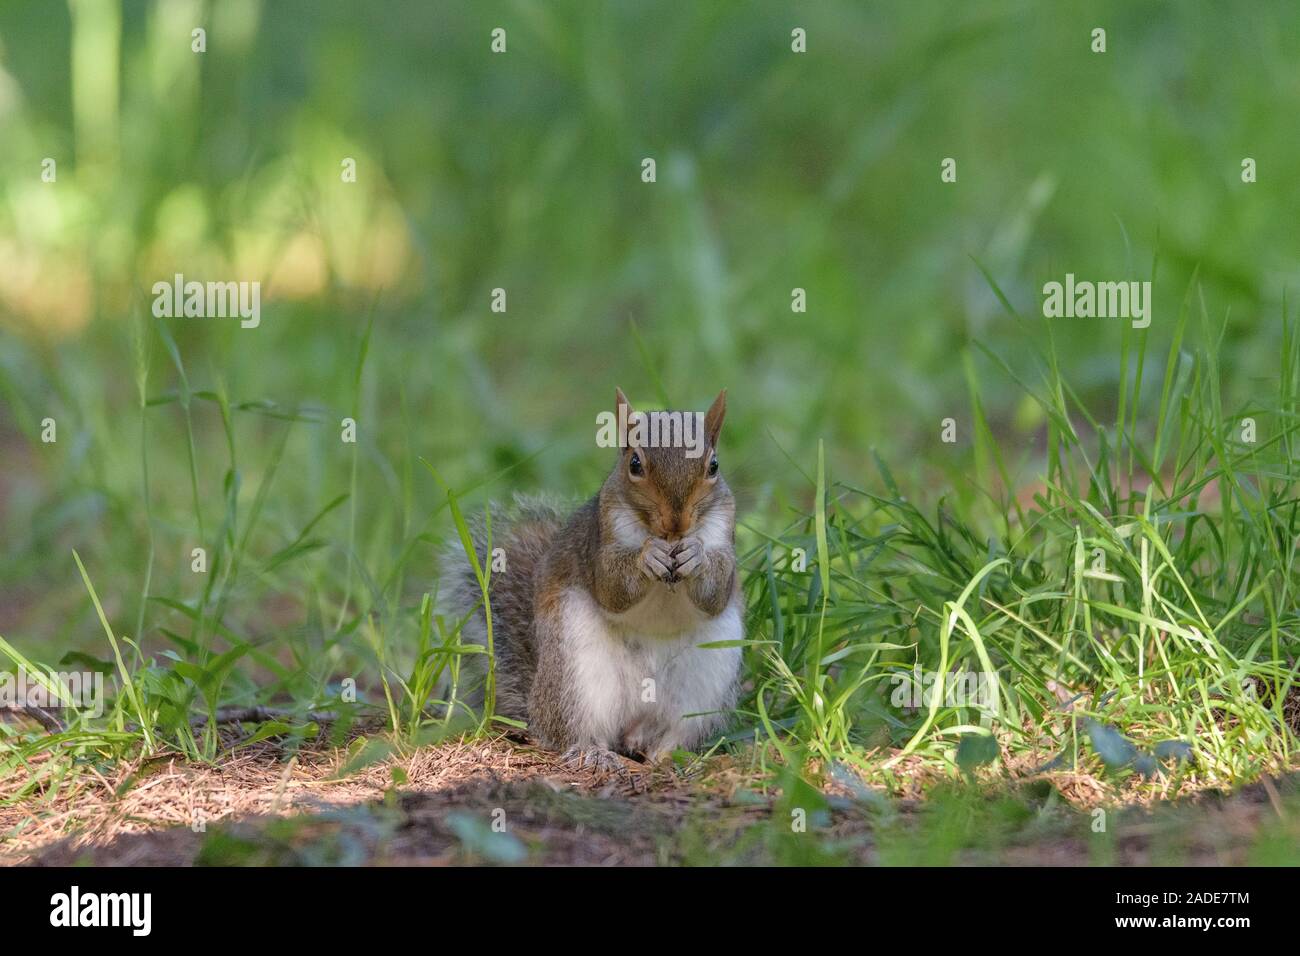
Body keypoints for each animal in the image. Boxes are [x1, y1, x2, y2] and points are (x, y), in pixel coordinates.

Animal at [440, 388, 743, 771]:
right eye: (634, 464)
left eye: (714, 466)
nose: (676, 524)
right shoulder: (598, 541)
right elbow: (612, 587)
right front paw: (648, 555)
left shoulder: (725, 533)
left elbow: (716, 593)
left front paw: (696, 554)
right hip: (576, 669)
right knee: (572, 729)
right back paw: (592, 751)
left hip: (709, 676)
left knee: (675, 730)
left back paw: (671, 757)